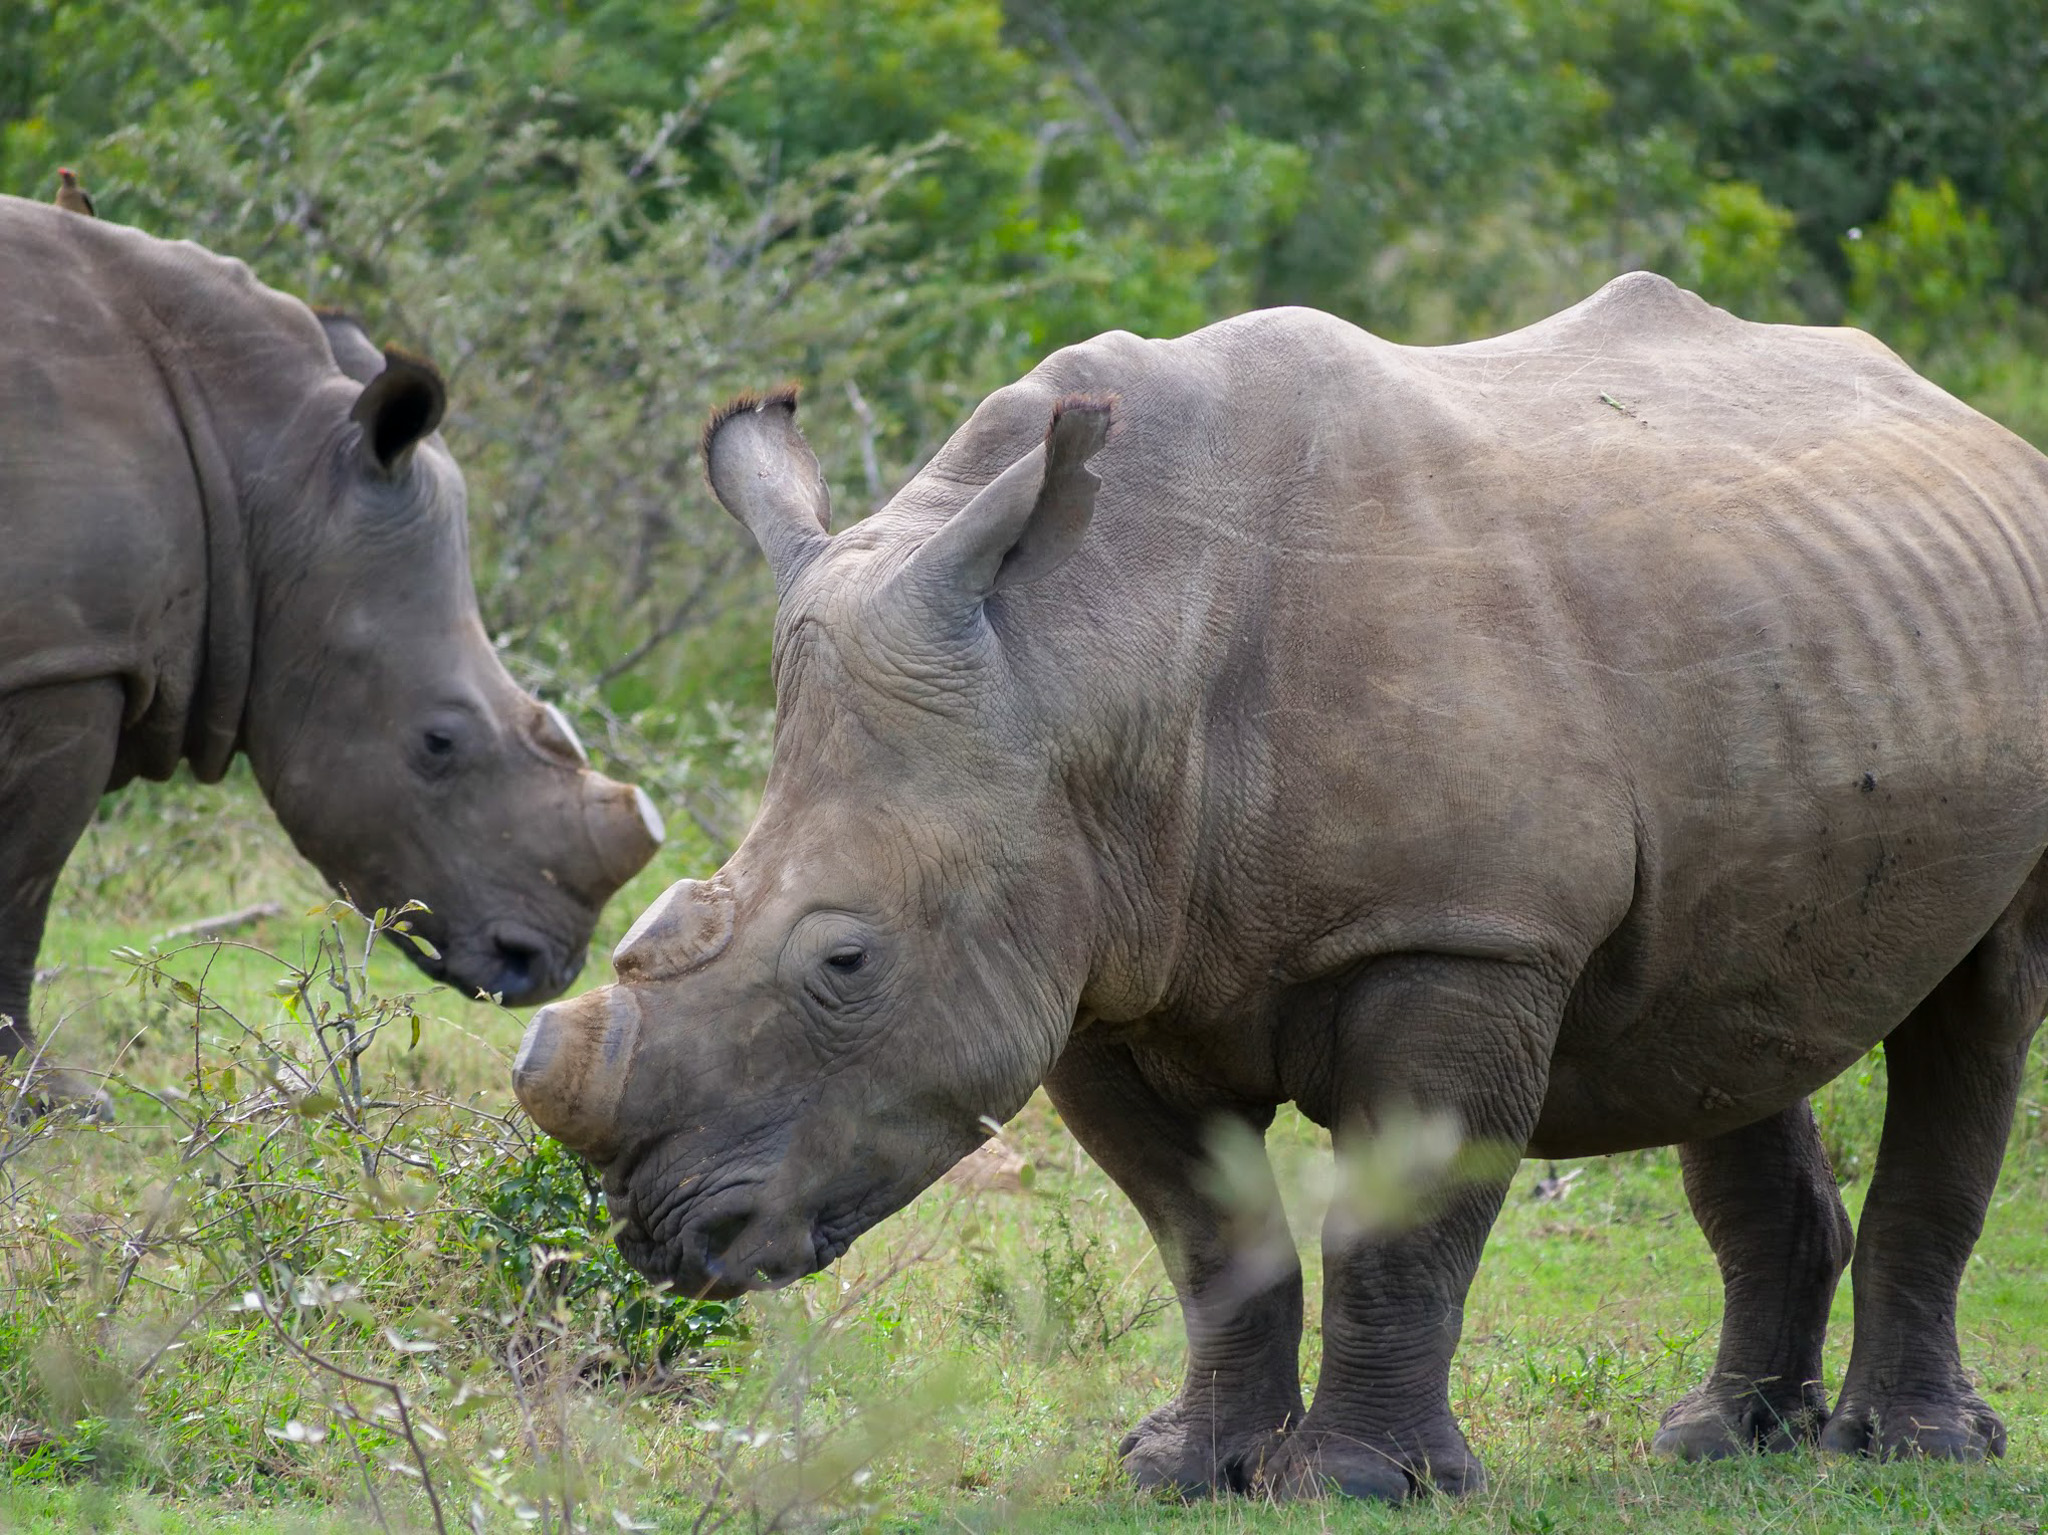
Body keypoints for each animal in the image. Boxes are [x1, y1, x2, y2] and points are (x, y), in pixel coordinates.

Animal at [0, 195, 663, 1079]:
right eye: (438, 743)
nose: (543, 966)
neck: (268, 476)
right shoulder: (67, 659)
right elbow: (25, 880)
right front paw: (50, 1092)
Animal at [513, 273, 2048, 1499]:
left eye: (846, 962)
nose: (657, 1226)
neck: (1083, 652)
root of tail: (1978, 424)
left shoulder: (1457, 937)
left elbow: (1396, 1220)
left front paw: (1362, 1483)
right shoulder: (1096, 961)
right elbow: (1205, 1231)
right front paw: (1186, 1468)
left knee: (1979, 1009)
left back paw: (1906, 1453)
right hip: (1792, 626)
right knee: (1732, 1010)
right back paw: (1720, 1442)